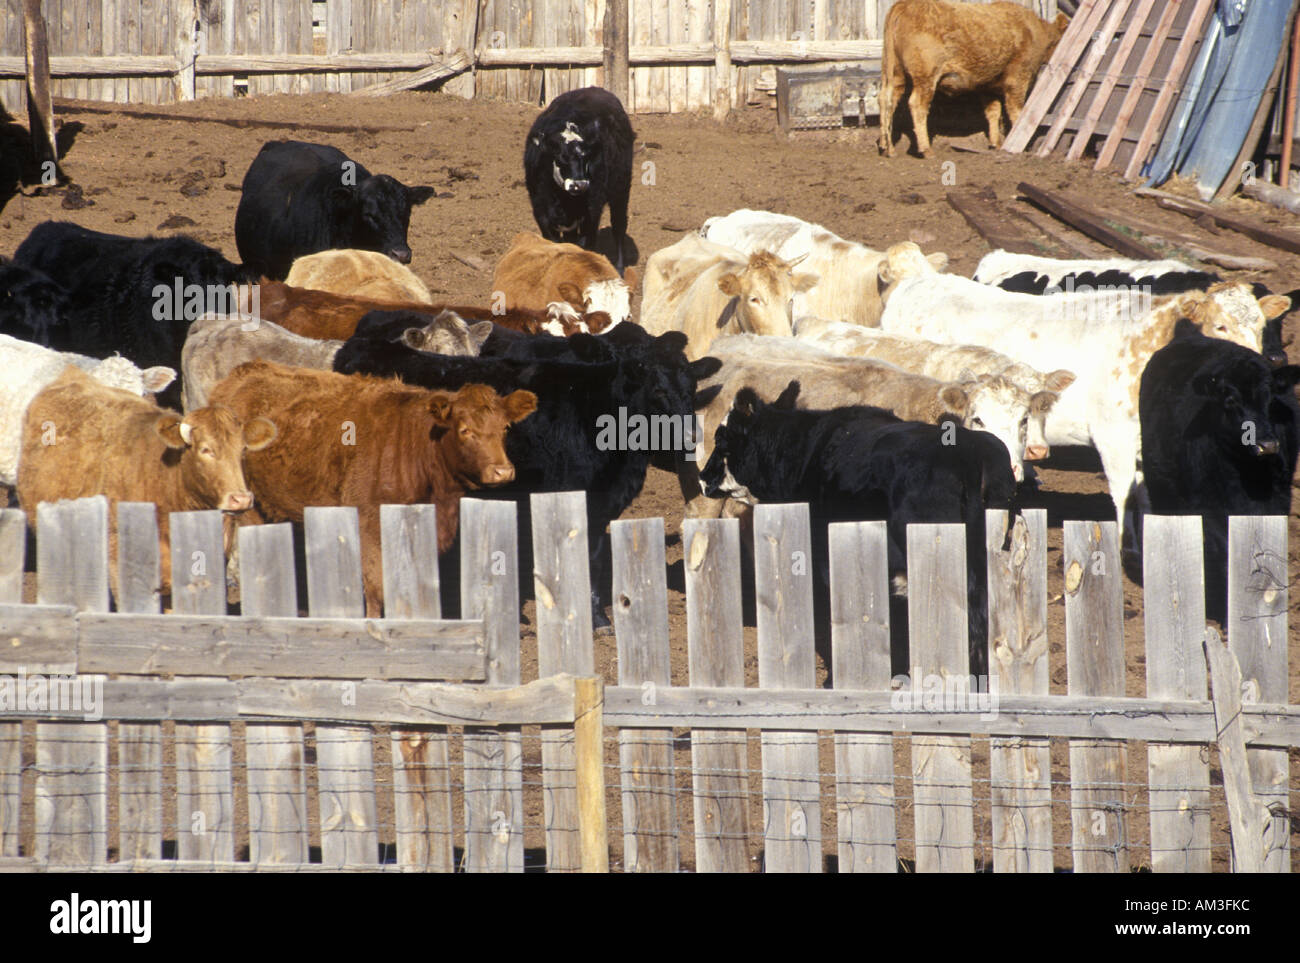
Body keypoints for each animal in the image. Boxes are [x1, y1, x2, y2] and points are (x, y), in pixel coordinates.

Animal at [210, 360, 536, 617]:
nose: (502, 470)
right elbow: (377, 585)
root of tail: (244, 372)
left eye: (505, 427)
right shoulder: (369, 523)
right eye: (465, 430)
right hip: (248, 507)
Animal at [524, 86, 636, 273]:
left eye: (587, 158)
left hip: (621, 189)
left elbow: (585, 245)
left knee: (618, 226)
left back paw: (619, 267)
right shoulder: (541, 212)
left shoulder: (591, 212)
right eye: (560, 157)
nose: (579, 185)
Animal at [879, 0, 1070, 157]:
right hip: (926, 76)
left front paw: (996, 143)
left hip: (896, 73)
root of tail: (905, 4)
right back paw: (926, 150)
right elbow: (1017, 110)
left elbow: (993, 111)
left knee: (887, 101)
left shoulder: (988, 86)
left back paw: (887, 148)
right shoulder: (1018, 77)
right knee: (917, 105)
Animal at [880, 268, 1290, 546]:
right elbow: (1124, 493)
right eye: (1220, 326)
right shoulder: (1113, 435)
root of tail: (919, 282)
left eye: (1260, 326)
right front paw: (1128, 547)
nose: (1254, 363)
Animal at [1139, 326, 1300, 624]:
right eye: (1231, 401)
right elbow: (1225, 550)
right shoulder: (1208, 508)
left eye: (1270, 398)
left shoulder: (1278, 499)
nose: (1267, 444)